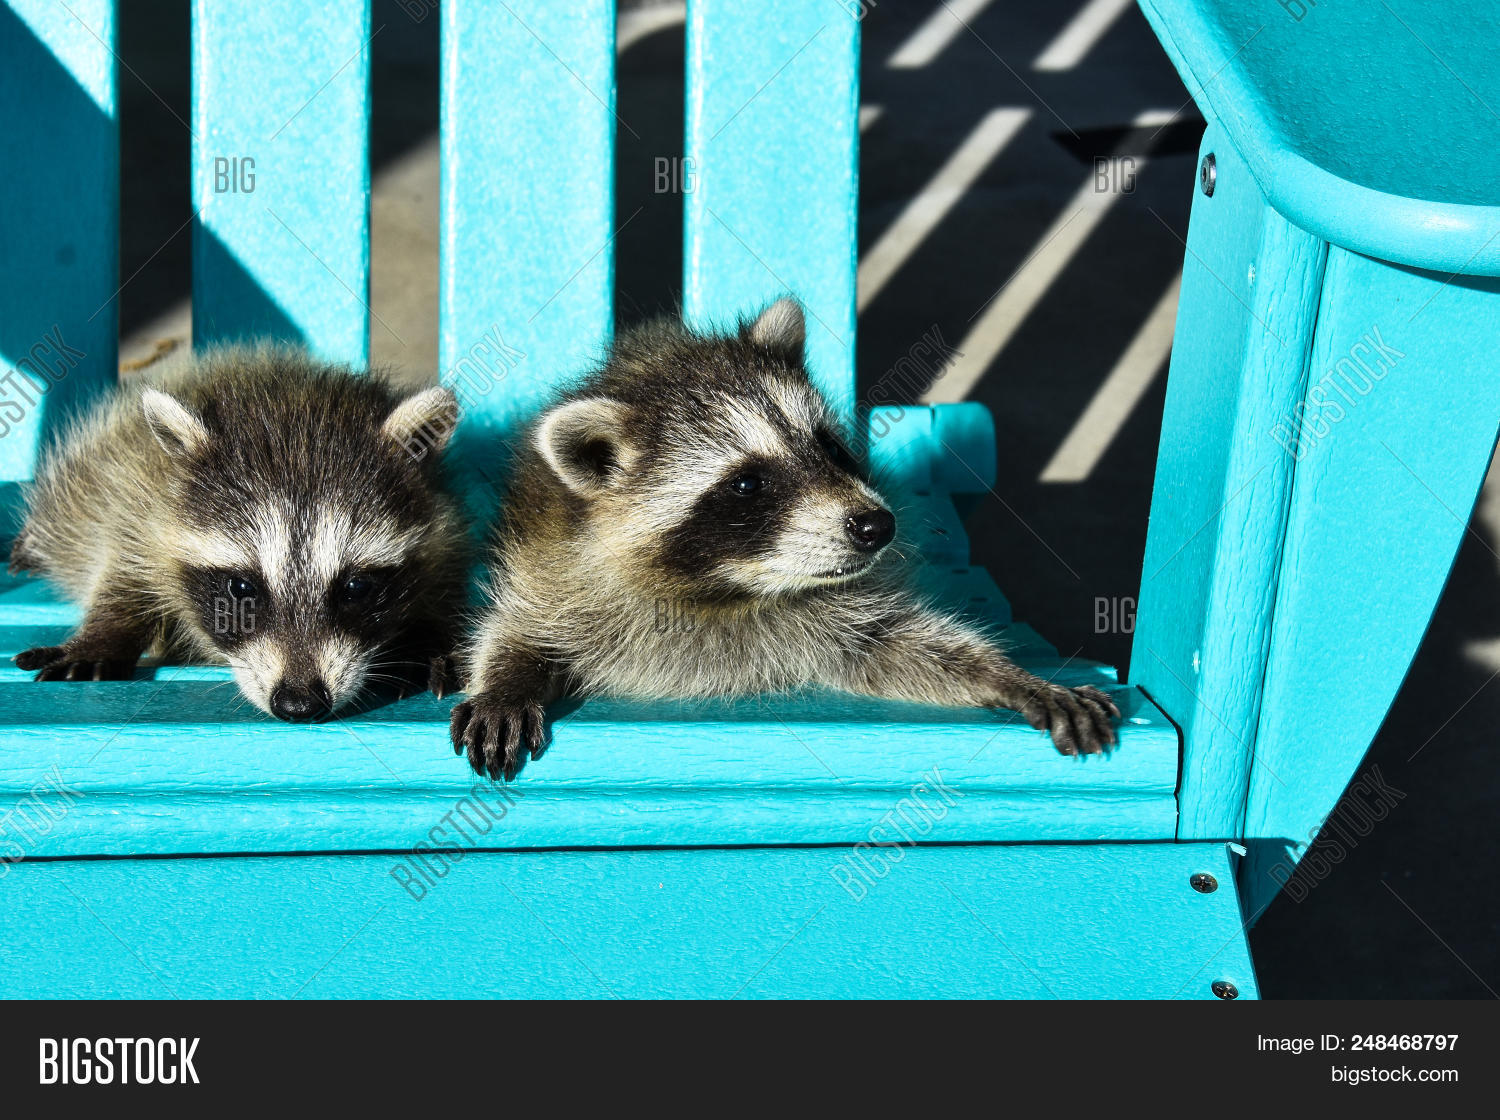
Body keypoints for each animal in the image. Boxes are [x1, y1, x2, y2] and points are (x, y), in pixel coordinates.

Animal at [8, 345, 470, 721]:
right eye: (241, 587)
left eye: (356, 587)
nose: (299, 703)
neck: (292, 399)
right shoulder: (141, 502)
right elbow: (124, 573)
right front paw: (105, 634)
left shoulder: (441, 522)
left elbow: (445, 582)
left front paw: (426, 635)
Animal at [451, 299, 1120, 778]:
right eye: (748, 484)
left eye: (830, 447)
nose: (877, 526)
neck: (733, 590)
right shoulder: (554, 570)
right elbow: (518, 628)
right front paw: (505, 681)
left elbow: (907, 647)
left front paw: (1009, 676)